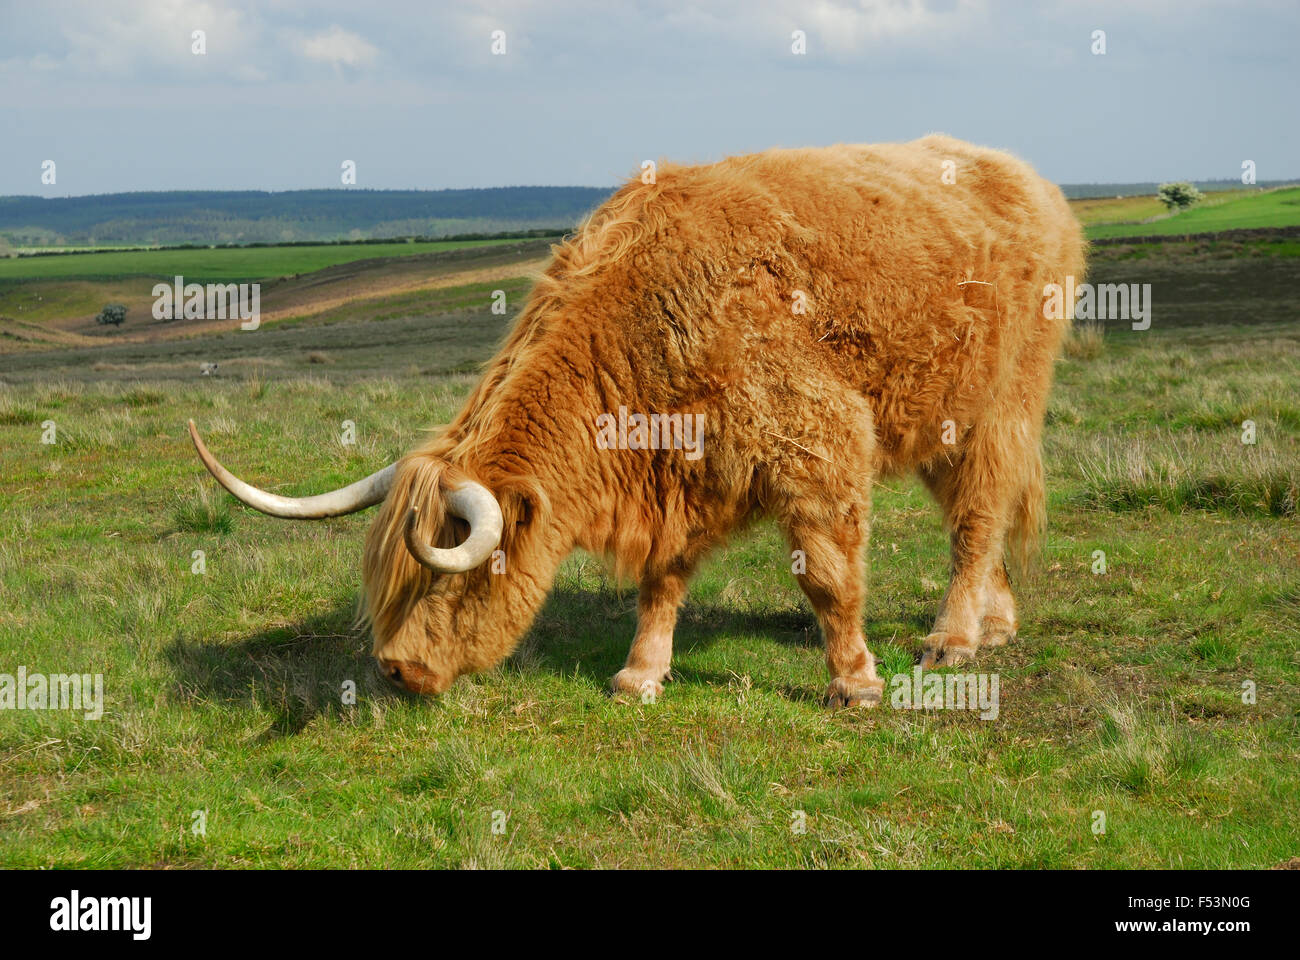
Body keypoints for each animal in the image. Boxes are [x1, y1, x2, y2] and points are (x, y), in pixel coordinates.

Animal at [189, 135, 1086, 707]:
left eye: (451, 576)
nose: (396, 670)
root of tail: (1031, 181)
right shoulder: (676, 477)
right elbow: (663, 581)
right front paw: (640, 675)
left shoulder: (819, 440)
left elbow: (830, 577)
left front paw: (855, 682)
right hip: (945, 419)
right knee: (981, 513)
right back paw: (996, 624)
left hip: (1001, 406)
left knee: (977, 517)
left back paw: (954, 638)